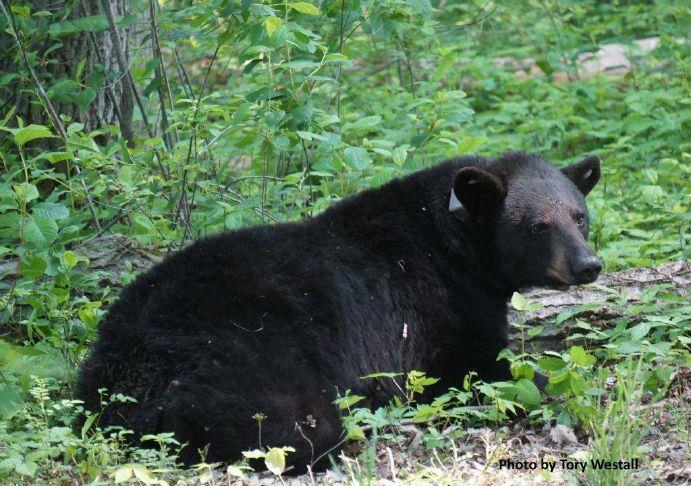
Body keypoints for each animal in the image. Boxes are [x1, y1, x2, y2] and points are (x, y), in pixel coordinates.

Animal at [77, 151, 602, 472]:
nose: (588, 265)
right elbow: (480, 369)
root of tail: (125, 376)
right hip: (246, 356)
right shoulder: (433, 310)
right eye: (537, 226)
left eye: (579, 216)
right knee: (296, 428)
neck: (455, 243)